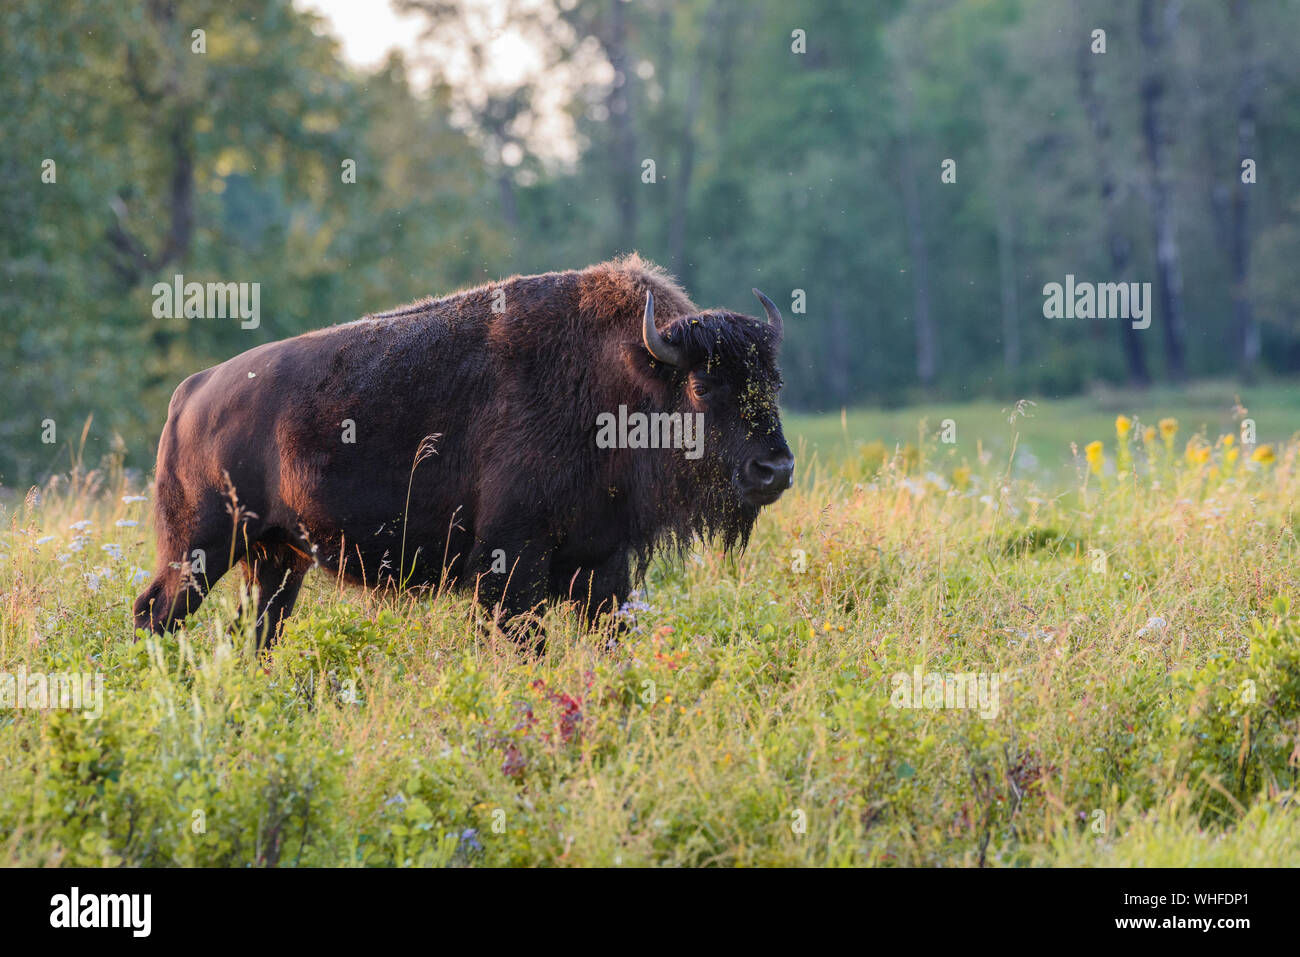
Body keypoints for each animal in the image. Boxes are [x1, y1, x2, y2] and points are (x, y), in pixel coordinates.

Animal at [132, 255, 794, 647]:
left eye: (774, 383)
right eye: (702, 386)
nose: (775, 469)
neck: (625, 378)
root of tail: (189, 393)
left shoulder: (602, 564)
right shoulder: (511, 563)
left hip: (275, 559)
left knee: (256, 629)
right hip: (200, 550)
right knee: (153, 612)